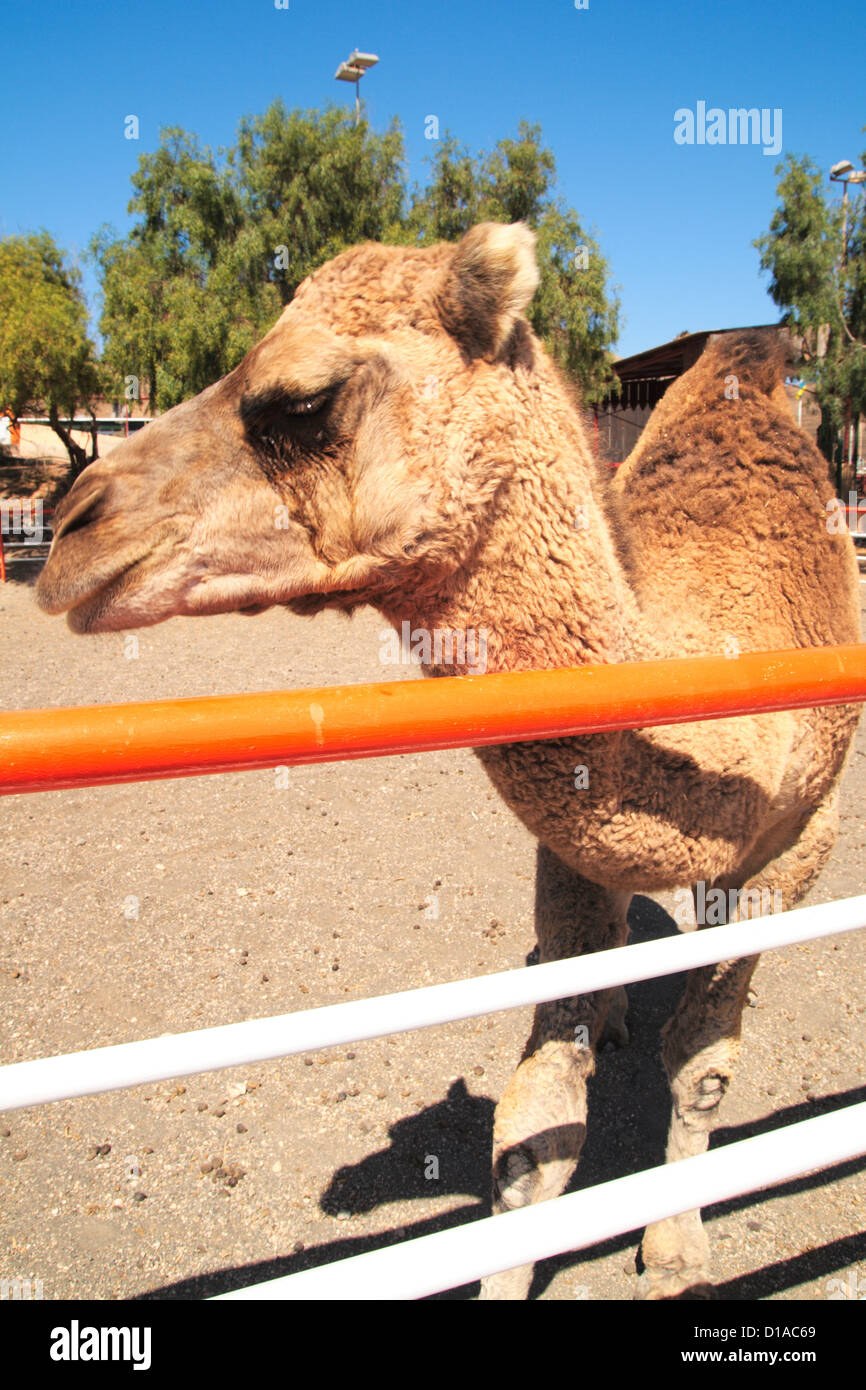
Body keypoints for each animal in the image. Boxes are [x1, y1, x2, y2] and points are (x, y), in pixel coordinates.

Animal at [36, 222, 861, 1299]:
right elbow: (537, 1126)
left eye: (303, 400)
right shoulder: (573, 846)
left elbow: (702, 1067)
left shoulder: (800, 839)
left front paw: (677, 1245)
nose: (69, 530)